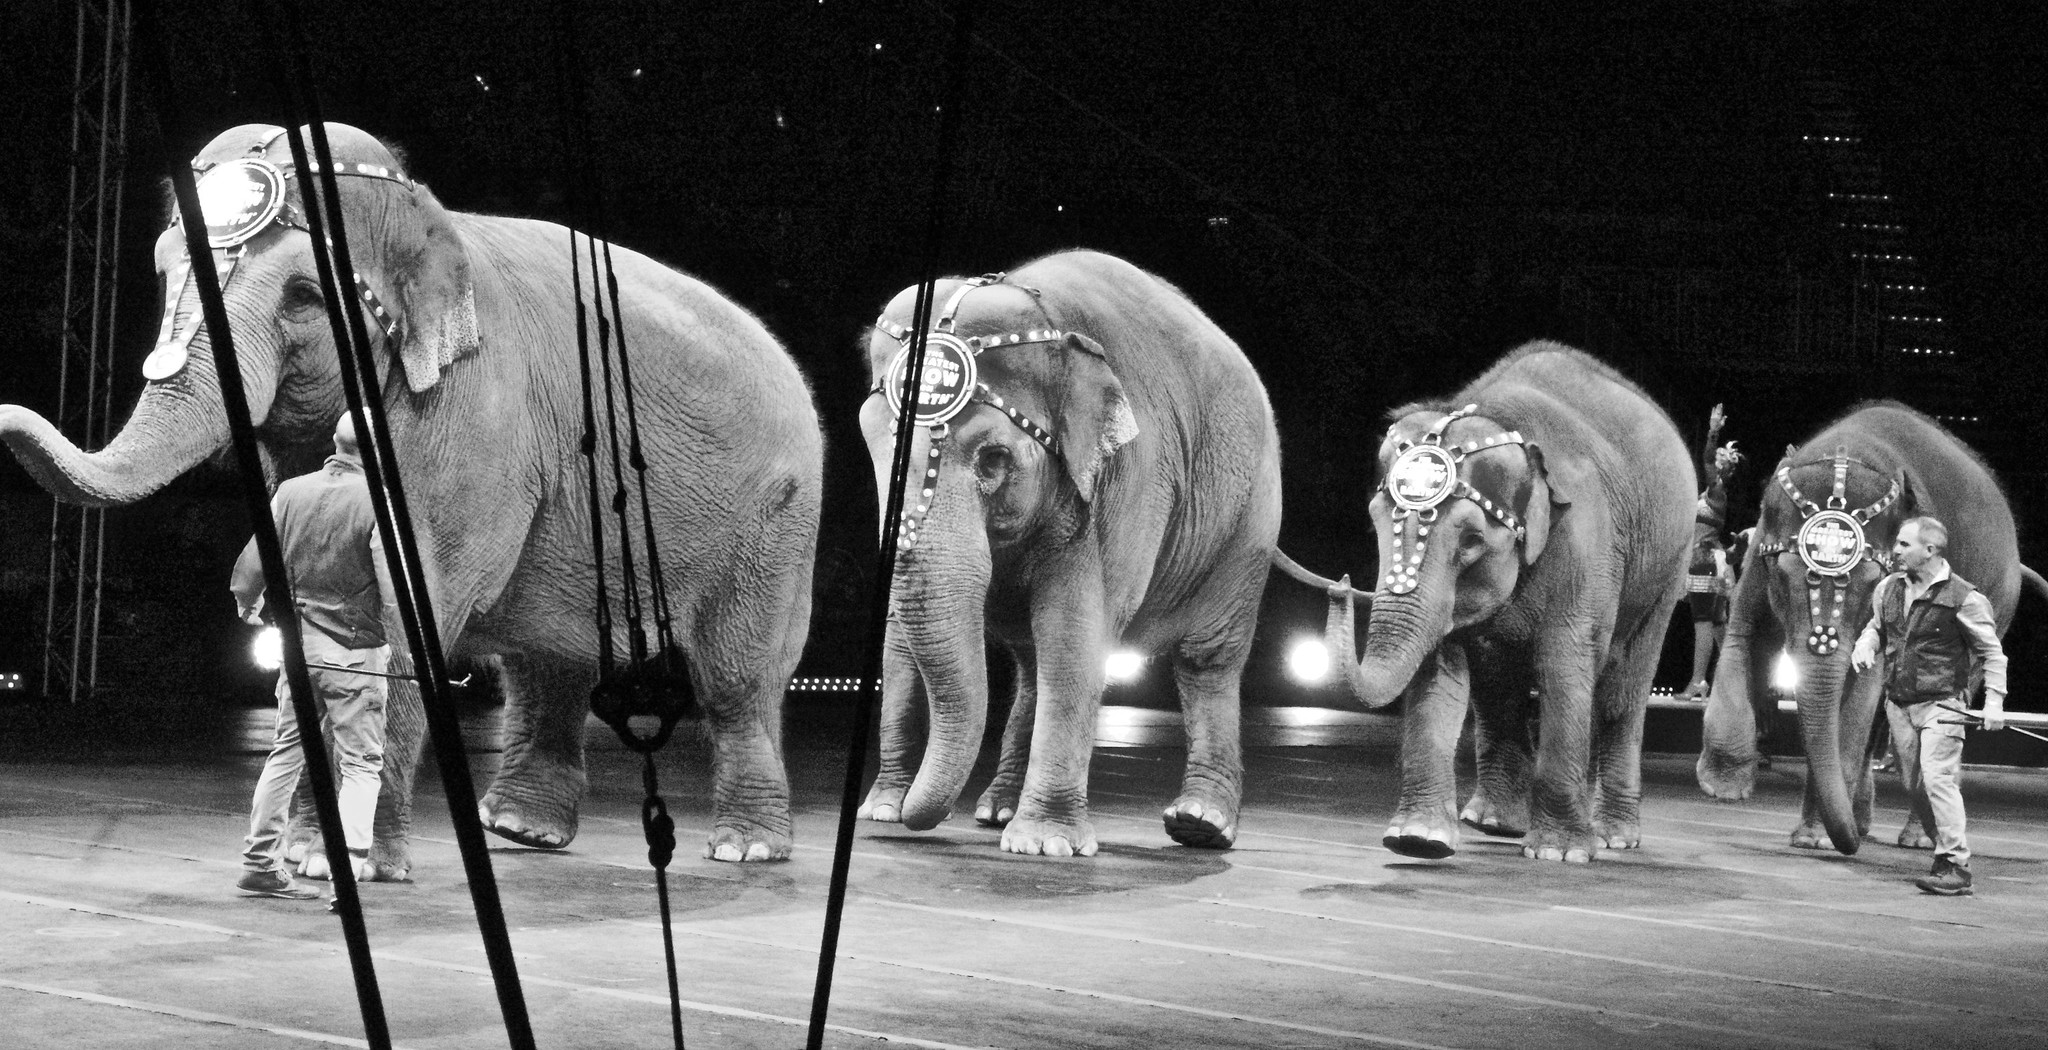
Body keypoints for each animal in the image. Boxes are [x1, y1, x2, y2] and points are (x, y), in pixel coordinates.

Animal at [0, 123, 822, 871]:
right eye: (166, 271)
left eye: (304, 296)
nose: (8, 412)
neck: (428, 220)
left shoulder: (473, 410)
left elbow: (410, 598)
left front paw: (334, 863)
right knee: (548, 662)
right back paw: (524, 830)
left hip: (778, 521)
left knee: (737, 673)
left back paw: (745, 848)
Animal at [853, 250, 1282, 857]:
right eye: (876, 446)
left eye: (994, 459)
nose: (916, 815)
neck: (1045, 313)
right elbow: (899, 634)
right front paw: (883, 810)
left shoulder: (1126, 479)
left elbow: (1073, 627)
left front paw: (1044, 845)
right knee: (1034, 663)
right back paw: (996, 810)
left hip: (1248, 528)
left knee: (1208, 661)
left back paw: (1201, 824)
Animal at [1318, 341, 1696, 863]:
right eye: (1375, 522)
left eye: (1472, 539)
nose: (1339, 585)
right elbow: (1439, 664)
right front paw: (1416, 840)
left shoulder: (1586, 540)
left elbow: (1565, 659)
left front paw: (1559, 854)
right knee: (1499, 683)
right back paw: (1495, 823)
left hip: (1669, 568)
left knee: (1625, 683)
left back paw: (1612, 837)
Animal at [1696, 401, 2047, 854]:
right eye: (1784, 576)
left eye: (1871, 584)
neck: (1849, 451)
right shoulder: (1756, 560)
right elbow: (1740, 635)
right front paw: (1723, 787)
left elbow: (1863, 688)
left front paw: (1815, 839)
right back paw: (1863, 824)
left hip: (1994, 612)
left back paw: (1916, 838)